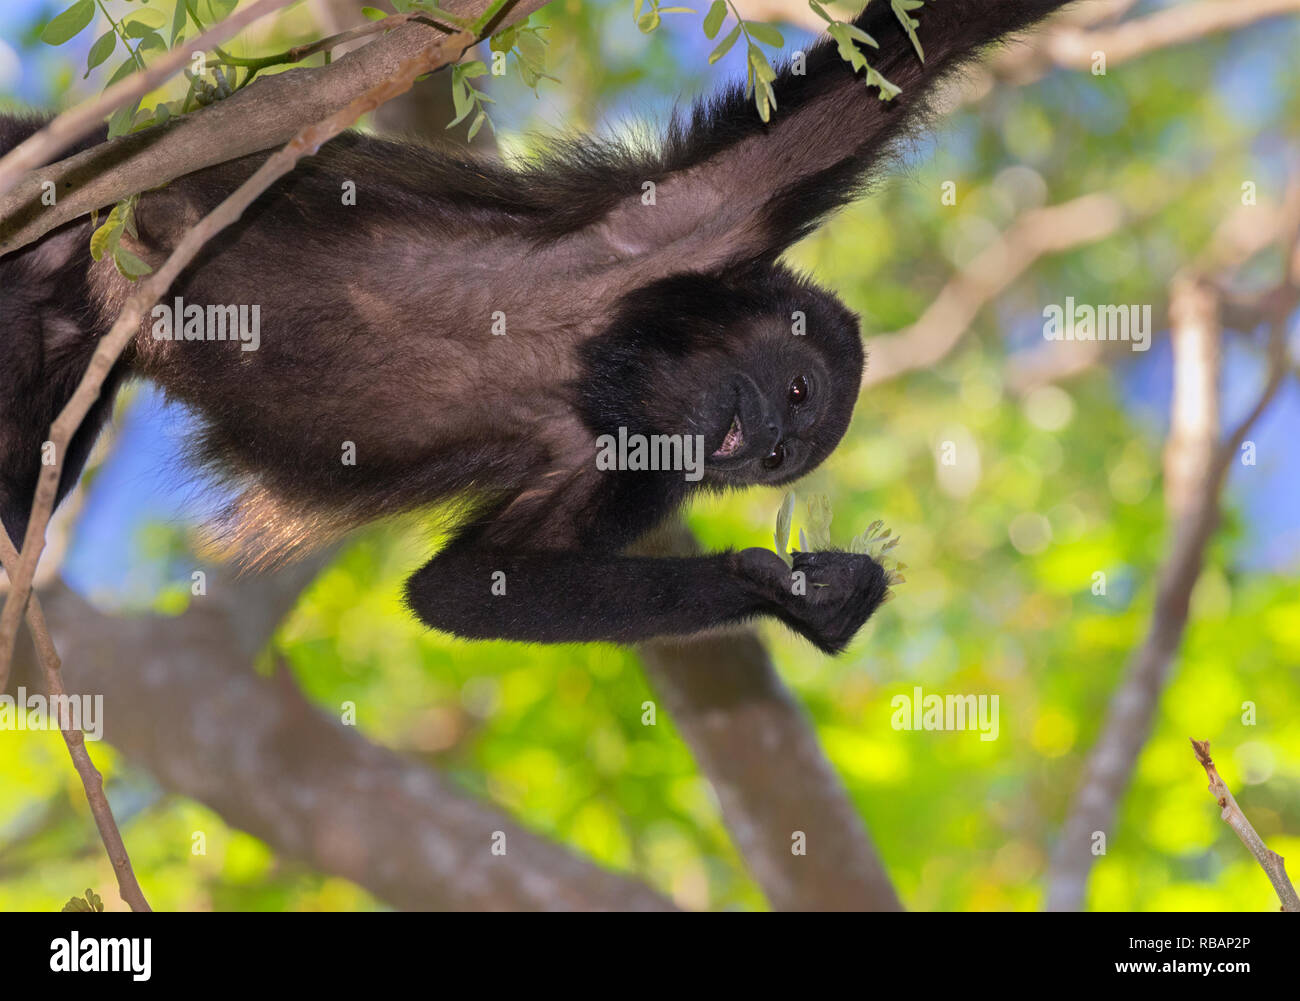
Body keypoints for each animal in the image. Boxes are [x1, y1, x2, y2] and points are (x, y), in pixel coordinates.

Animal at [0, 0, 1074, 654]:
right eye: (798, 393)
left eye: (780, 462)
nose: (763, 440)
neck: (589, 355)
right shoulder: (702, 215)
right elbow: (905, 57)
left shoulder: (619, 464)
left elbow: (467, 587)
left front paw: (794, 596)